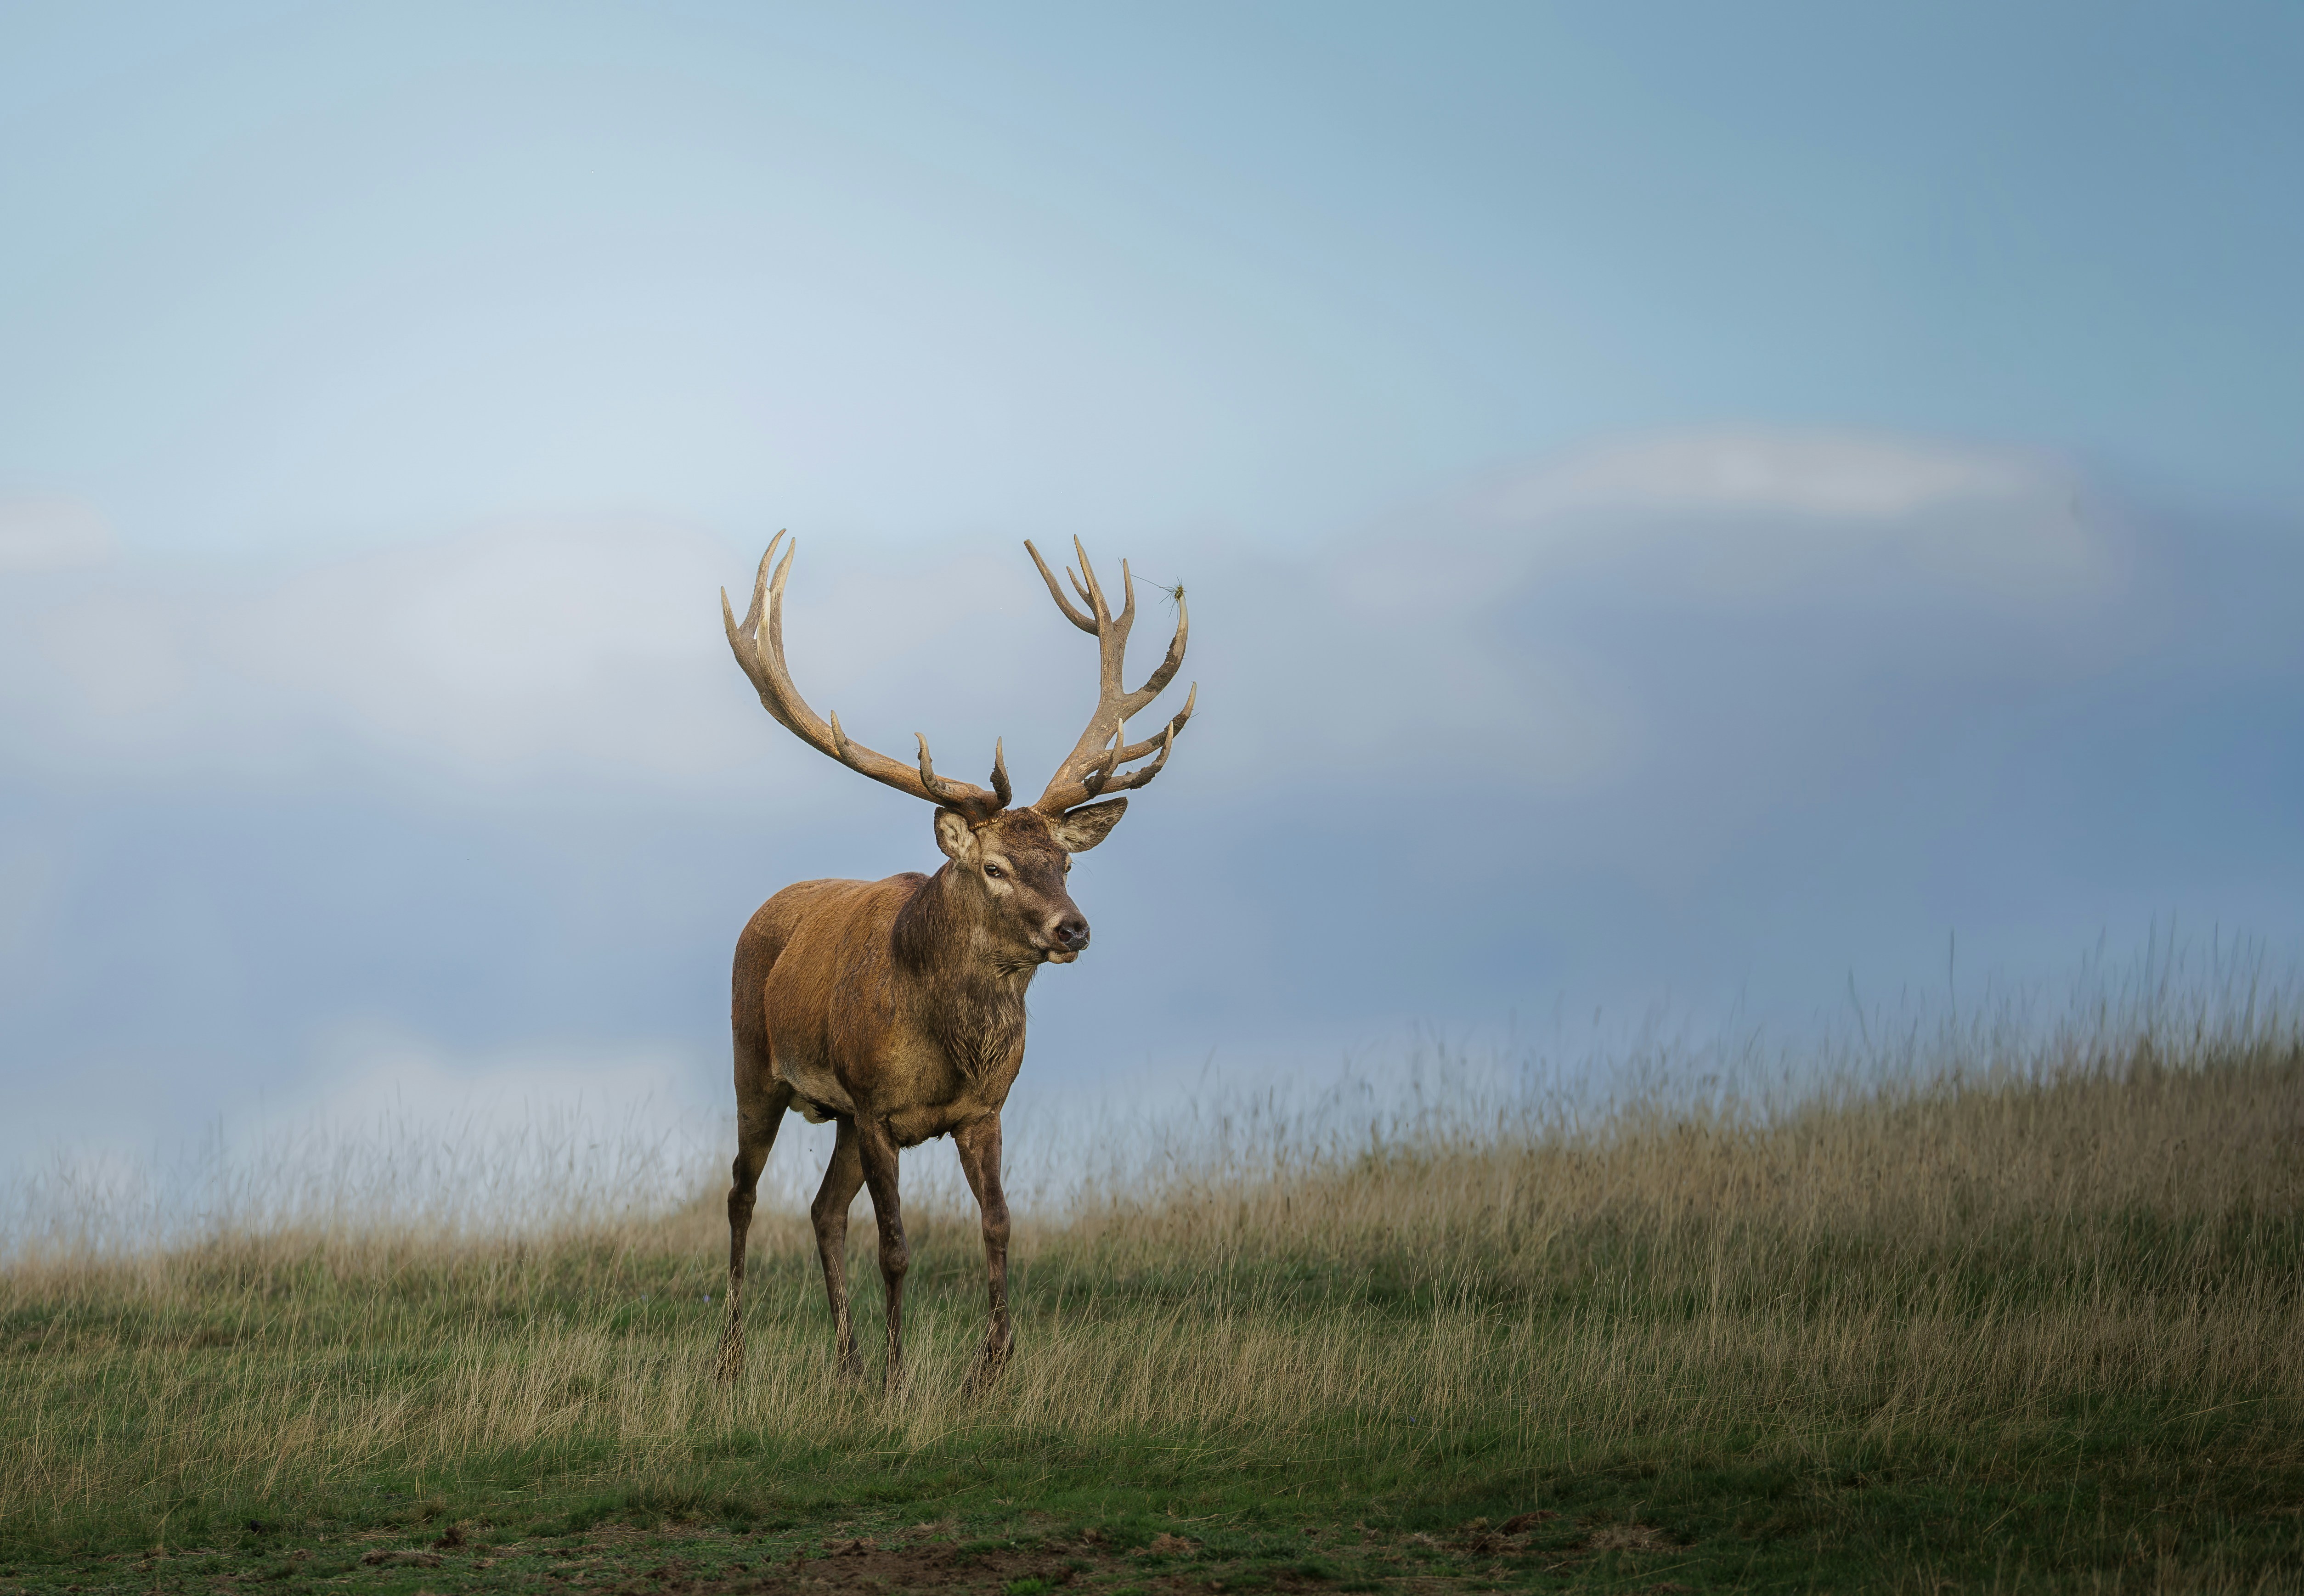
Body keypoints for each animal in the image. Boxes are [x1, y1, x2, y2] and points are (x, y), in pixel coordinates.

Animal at [713, 532, 1193, 1392]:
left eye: (1065, 863)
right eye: (995, 866)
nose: (1073, 929)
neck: (951, 1046)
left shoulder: (982, 1109)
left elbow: (998, 1225)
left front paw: (992, 1365)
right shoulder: (876, 1107)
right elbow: (897, 1247)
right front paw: (901, 1377)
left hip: (836, 1115)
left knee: (822, 1211)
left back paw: (848, 1364)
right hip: (755, 1068)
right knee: (742, 1192)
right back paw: (736, 1358)